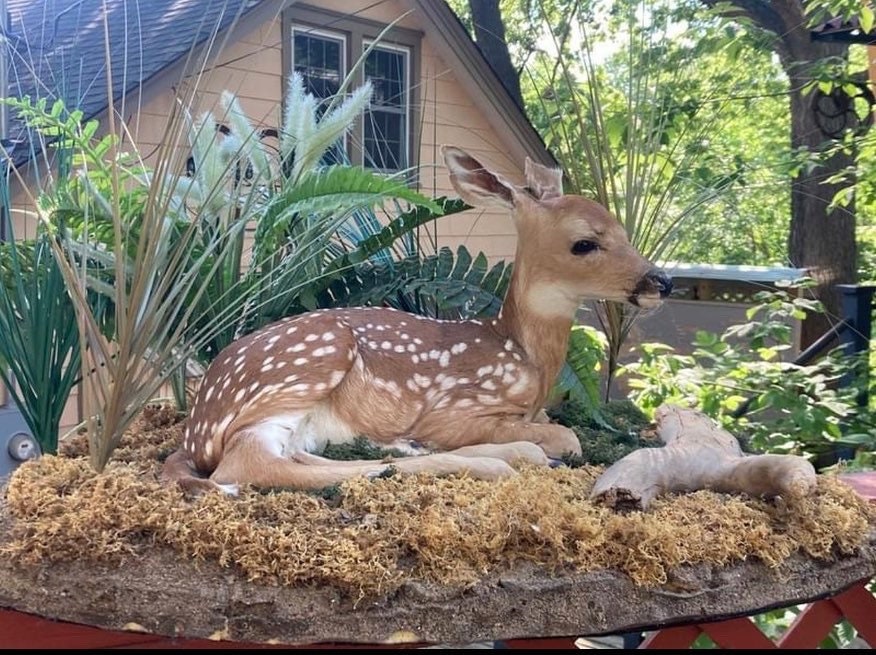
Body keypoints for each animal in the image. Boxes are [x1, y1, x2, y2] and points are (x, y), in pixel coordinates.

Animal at [161, 145, 672, 495]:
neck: (524, 357)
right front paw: (537, 447)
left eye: (624, 230)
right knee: (248, 465)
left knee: (298, 456)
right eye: (585, 243)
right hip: (310, 361)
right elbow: (567, 436)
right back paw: (497, 462)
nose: (662, 281)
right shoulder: (456, 410)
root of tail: (194, 430)